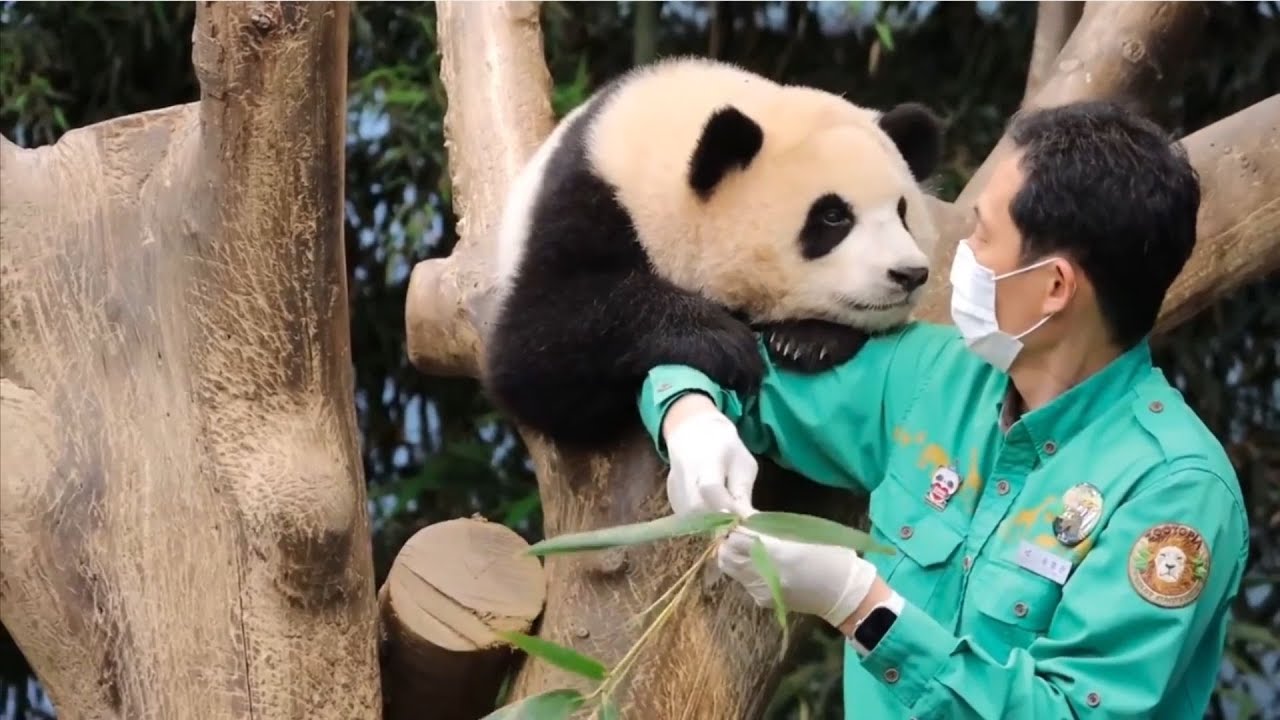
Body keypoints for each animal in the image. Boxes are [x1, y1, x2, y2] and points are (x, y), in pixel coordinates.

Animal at [483, 56, 943, 451]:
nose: (908, 274)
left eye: (902, 212)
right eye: (833, 217)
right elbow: (536, 343)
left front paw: (807, 340)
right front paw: (721, 341)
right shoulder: (587, 200)